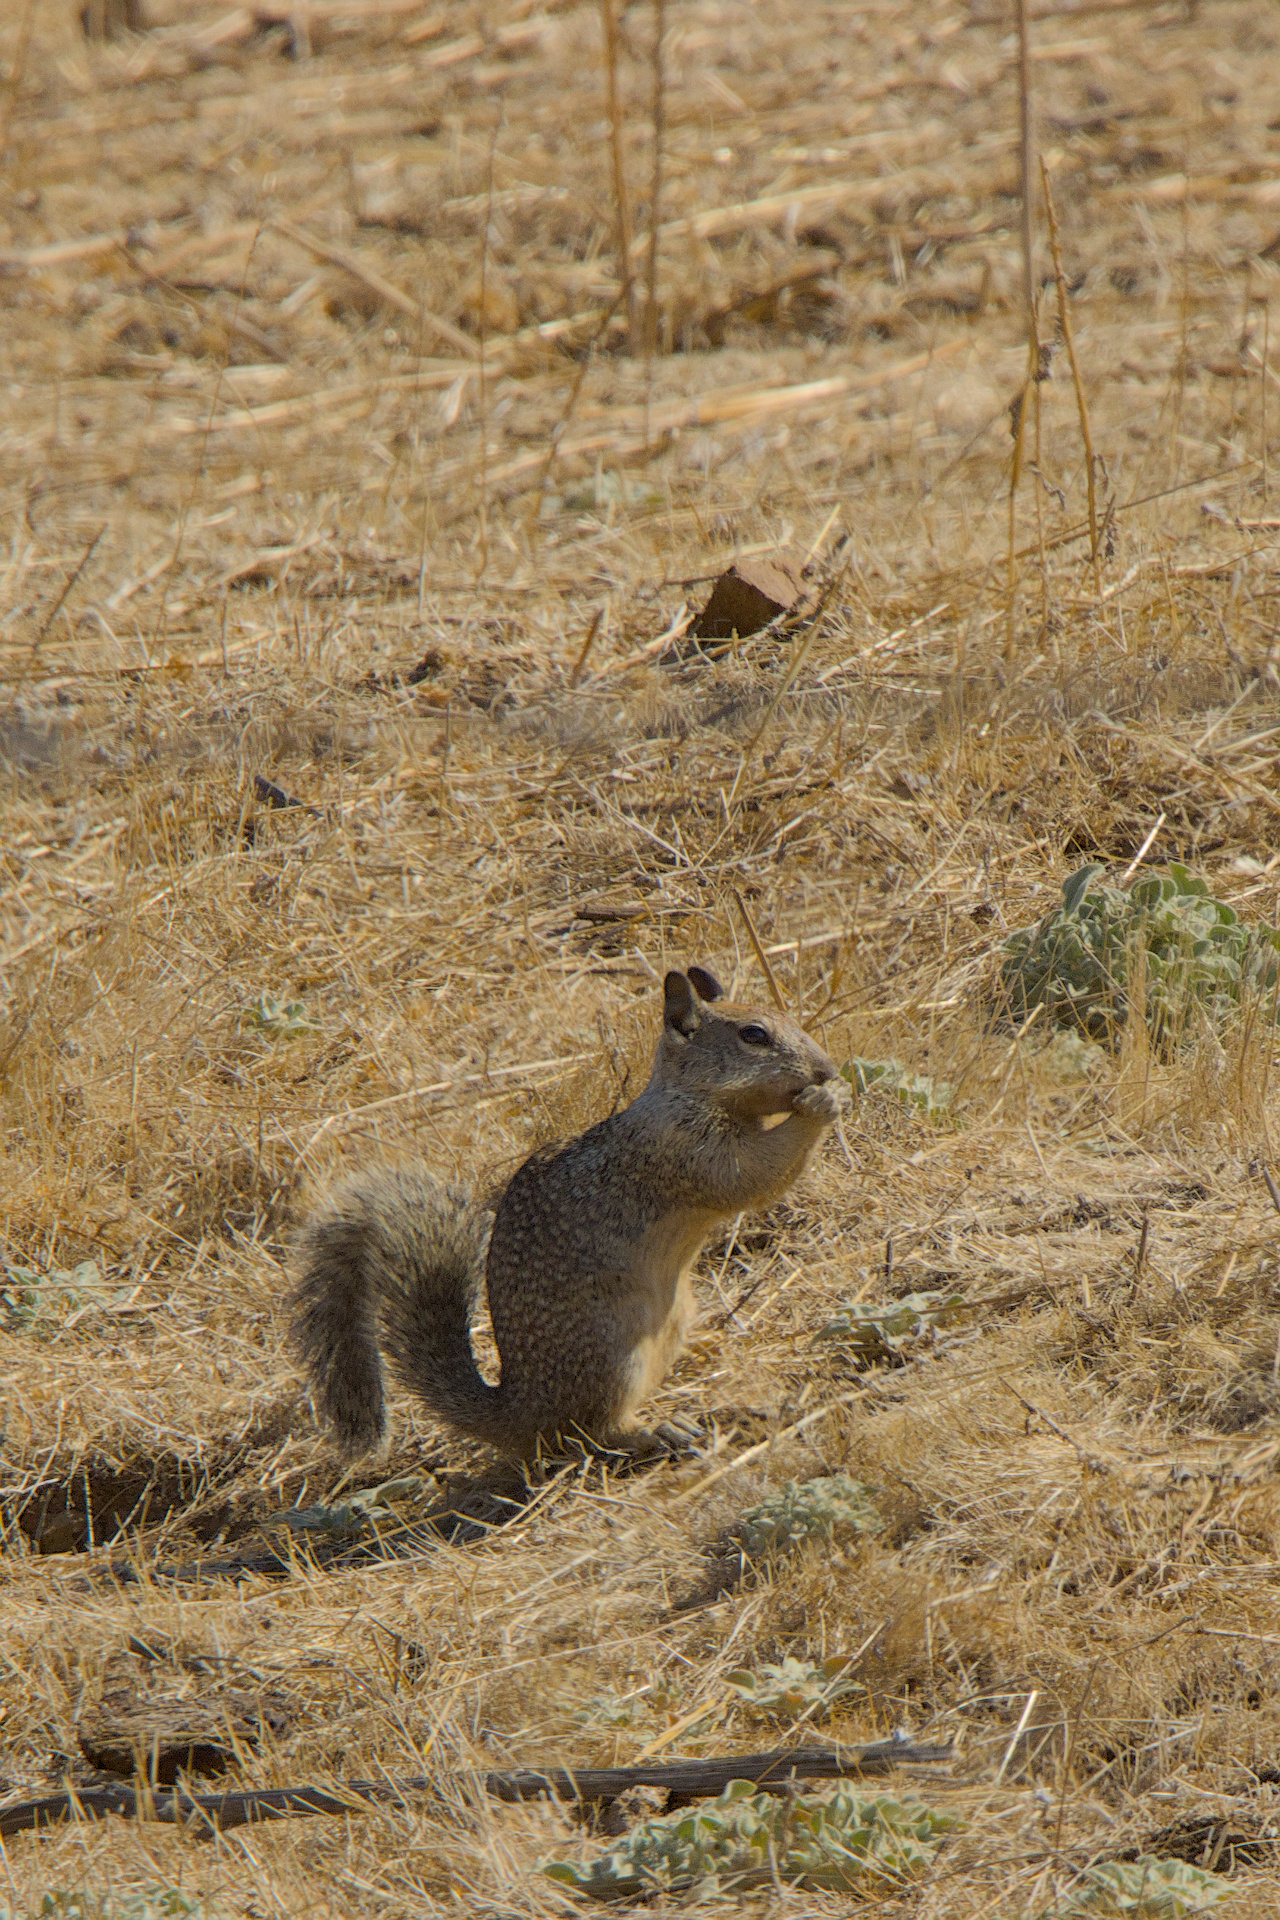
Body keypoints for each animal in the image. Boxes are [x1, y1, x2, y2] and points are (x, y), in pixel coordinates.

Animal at [291, 965, 851, 1463]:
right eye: (753, 1035)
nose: (827, 1068)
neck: (685, 1095)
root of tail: (521, 1411)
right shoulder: (683, 1152)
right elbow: (751, 1174)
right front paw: (821, 1102)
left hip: (669, 1322)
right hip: (608, 1356)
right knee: (594, 1428)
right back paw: (661, 1432)